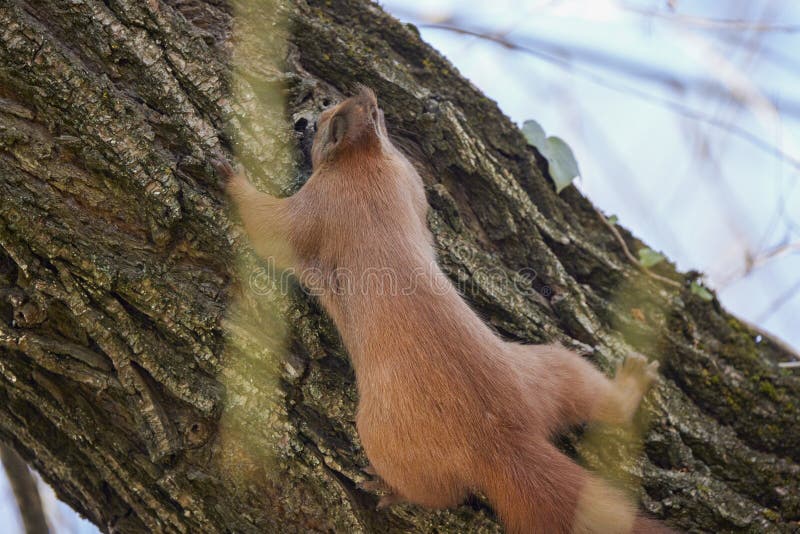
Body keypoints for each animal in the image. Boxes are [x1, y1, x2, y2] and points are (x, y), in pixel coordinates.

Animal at [217, 86, 675, 534]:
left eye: (327, 115)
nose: (307, 116)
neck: (366, 170)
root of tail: (506, 437)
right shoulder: (407, 181)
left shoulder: (314, 209)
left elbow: (269, 228)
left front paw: (228, 171)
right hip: (548, 368)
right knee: (601, 402)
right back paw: (633, 380)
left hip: (384, 434)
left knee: (440, 495)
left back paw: (388, 489)